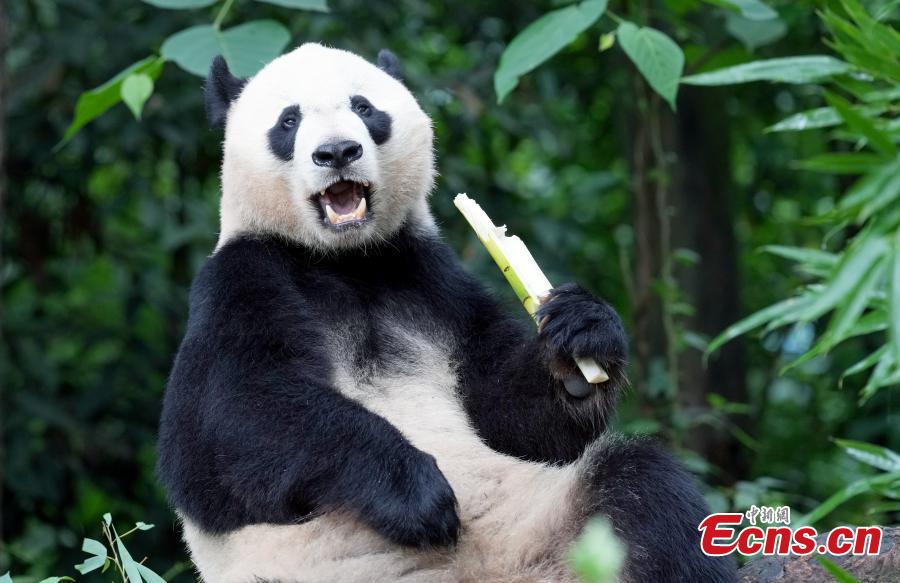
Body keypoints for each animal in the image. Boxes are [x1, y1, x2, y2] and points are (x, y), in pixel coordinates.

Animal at [157, 43, 736, 583]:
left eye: (364, 108)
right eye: (289, 121)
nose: (337, 151)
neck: (346, 260)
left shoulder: (434, 283)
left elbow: (518, 421)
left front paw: (582, 341)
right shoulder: (239, 281)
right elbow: (227, 426)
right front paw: (414, 493)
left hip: (546, 523)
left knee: (641, 490)